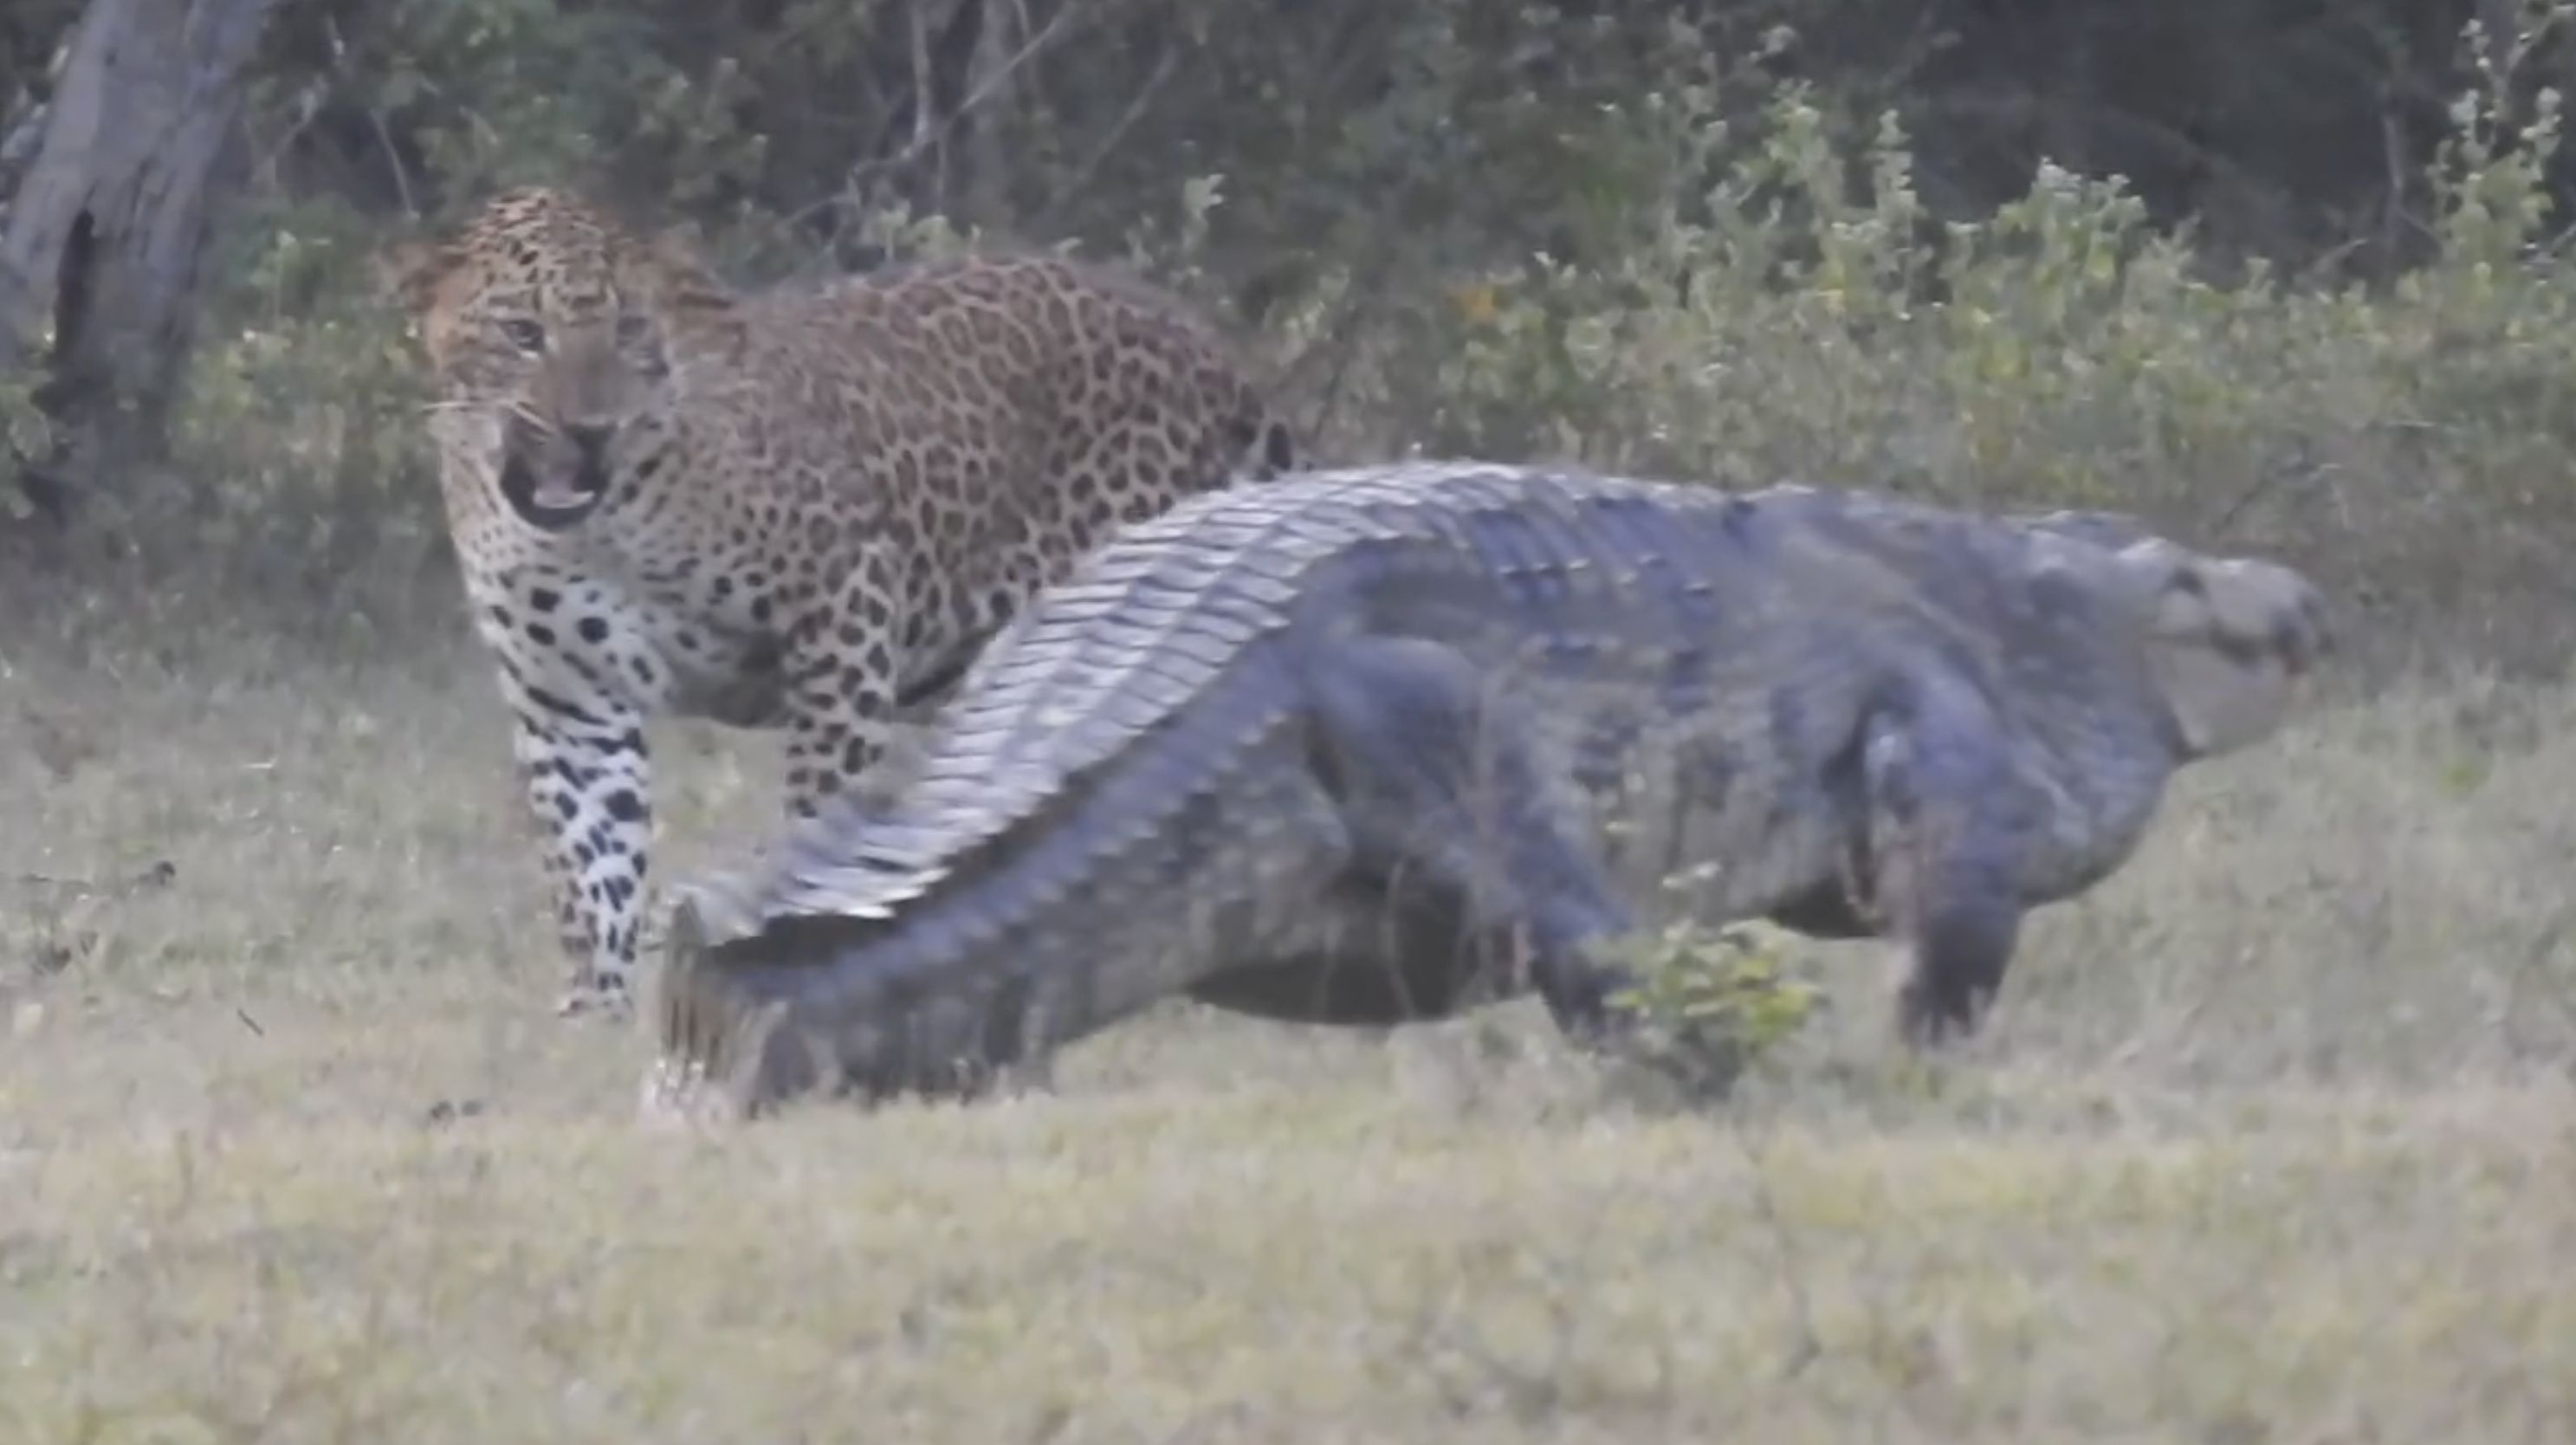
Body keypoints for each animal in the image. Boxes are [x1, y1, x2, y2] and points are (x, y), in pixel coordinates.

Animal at [382, 186, 1302, 1019]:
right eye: (522, 334)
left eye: (630, 331)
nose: (591, 430)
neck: (595, 529)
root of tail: (1206, 345)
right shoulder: (565, 700)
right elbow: (593, 865)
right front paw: (595, 1019)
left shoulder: (842, 600)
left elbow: (822, 805)